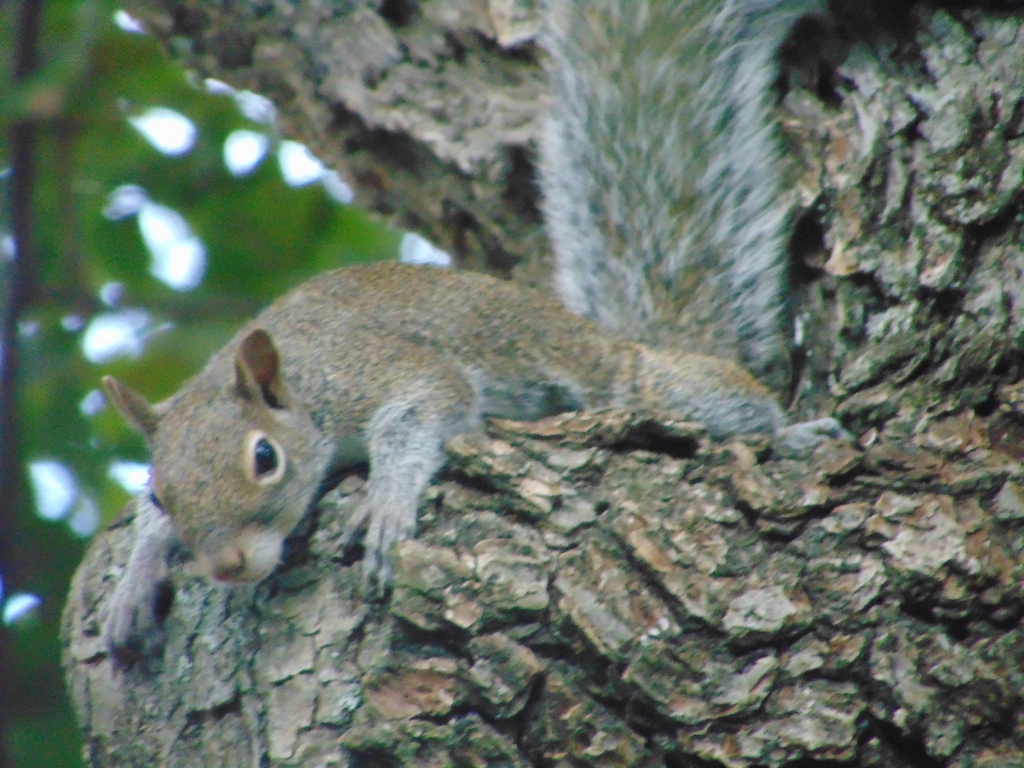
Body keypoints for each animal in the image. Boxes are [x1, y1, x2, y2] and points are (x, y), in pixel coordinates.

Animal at [101, 0, 845, 663]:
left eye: (264, 458)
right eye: (158, 490)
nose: (227, 565)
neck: (300, 377)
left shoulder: (374, 367)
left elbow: (428, 404)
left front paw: (386, 504)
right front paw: (137, 575)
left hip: (654, 386)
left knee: (734, 407)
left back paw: (793, 434)